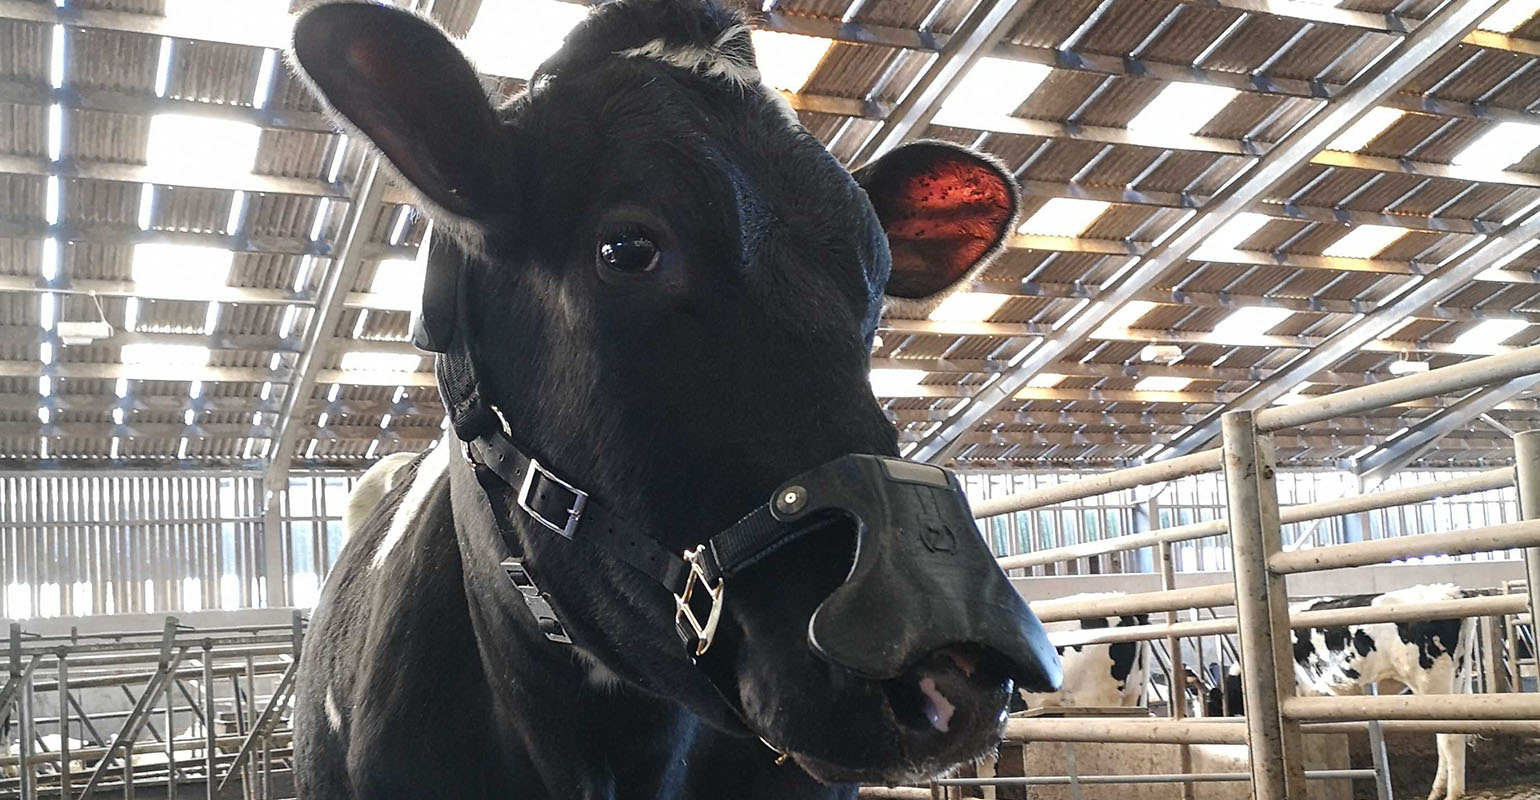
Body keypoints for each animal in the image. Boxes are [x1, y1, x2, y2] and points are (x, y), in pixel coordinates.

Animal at [1205, 584, 1478, 800]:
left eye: (1213, 706)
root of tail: (1449, 592)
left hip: (1432, 681)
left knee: (1450, 738)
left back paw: (1453, 794)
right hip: (1455, 679)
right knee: (1448, 737)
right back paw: (1437, 791)